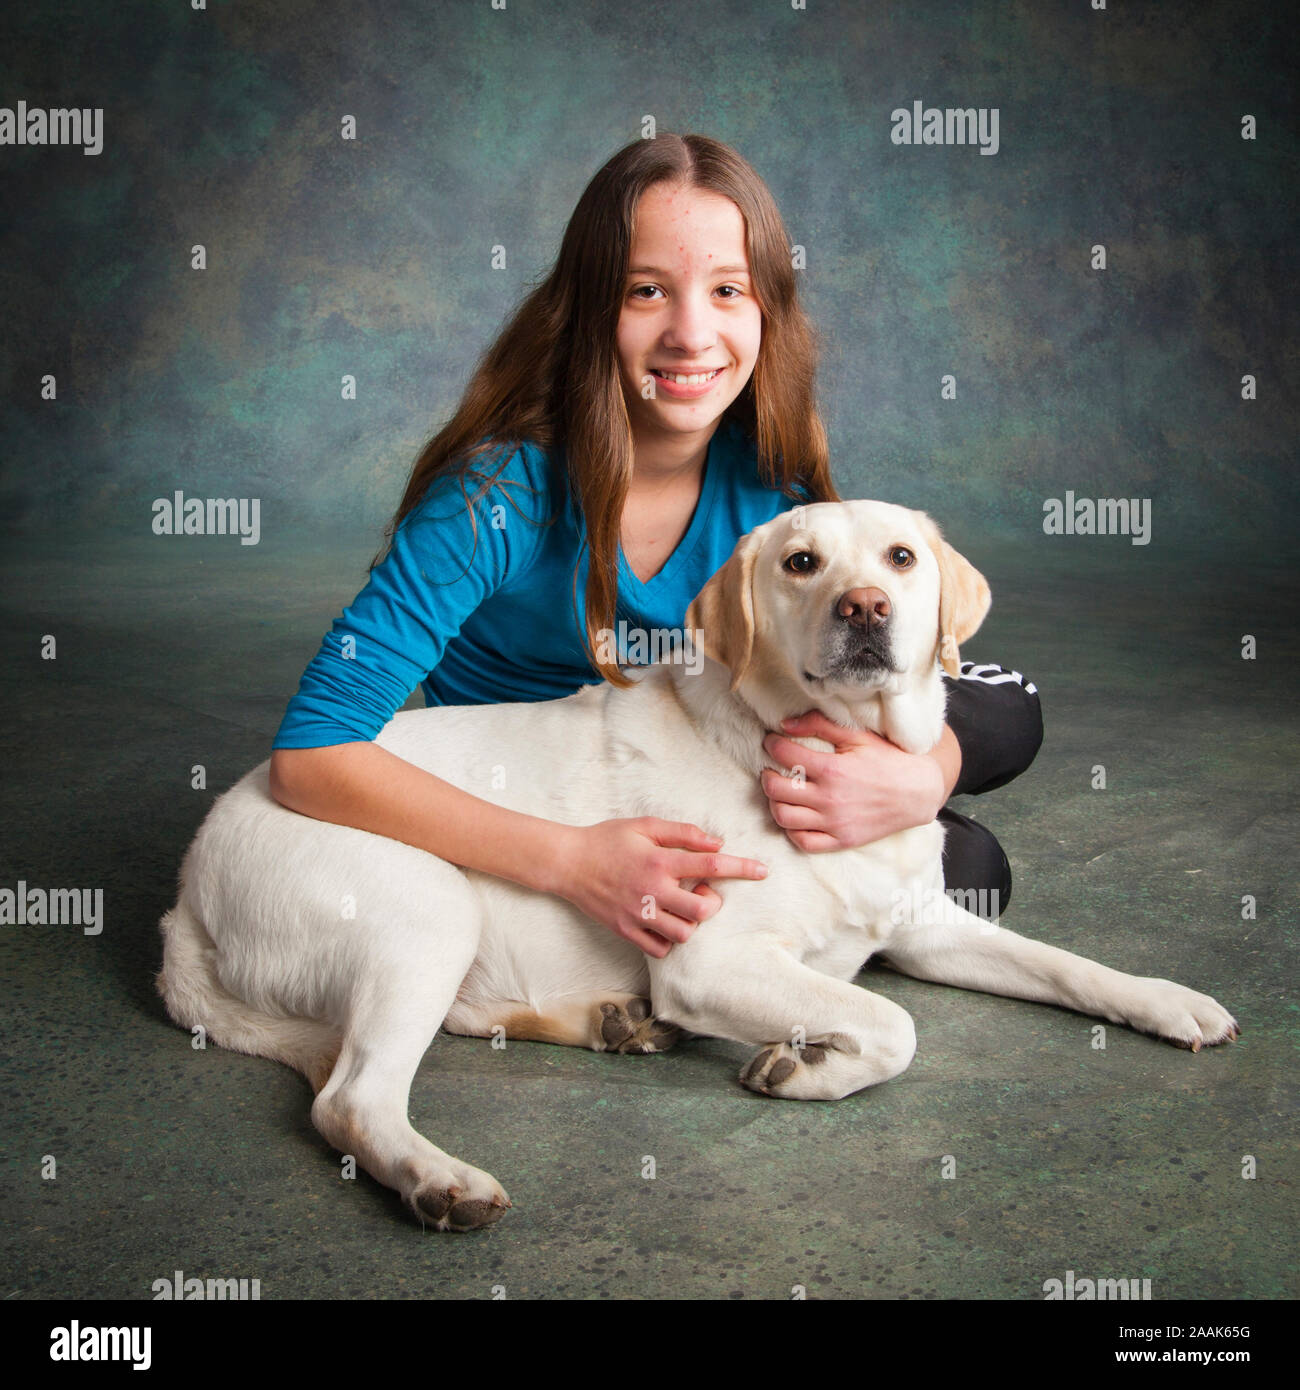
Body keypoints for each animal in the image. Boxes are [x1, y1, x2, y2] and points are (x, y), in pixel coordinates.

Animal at [157, 500, 1234, 1228]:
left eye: (900, 556)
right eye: (801, 562)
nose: (865, 606)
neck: (812, 743)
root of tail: (186, 893)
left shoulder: (922, 924)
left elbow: (1066, 964)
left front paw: (1169, 1000)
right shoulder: (712, 959)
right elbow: (893, 1025)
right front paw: (803, 1067)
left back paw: (609, 1024)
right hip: (424, 904)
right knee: (352, 1098)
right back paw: (441, 1178)